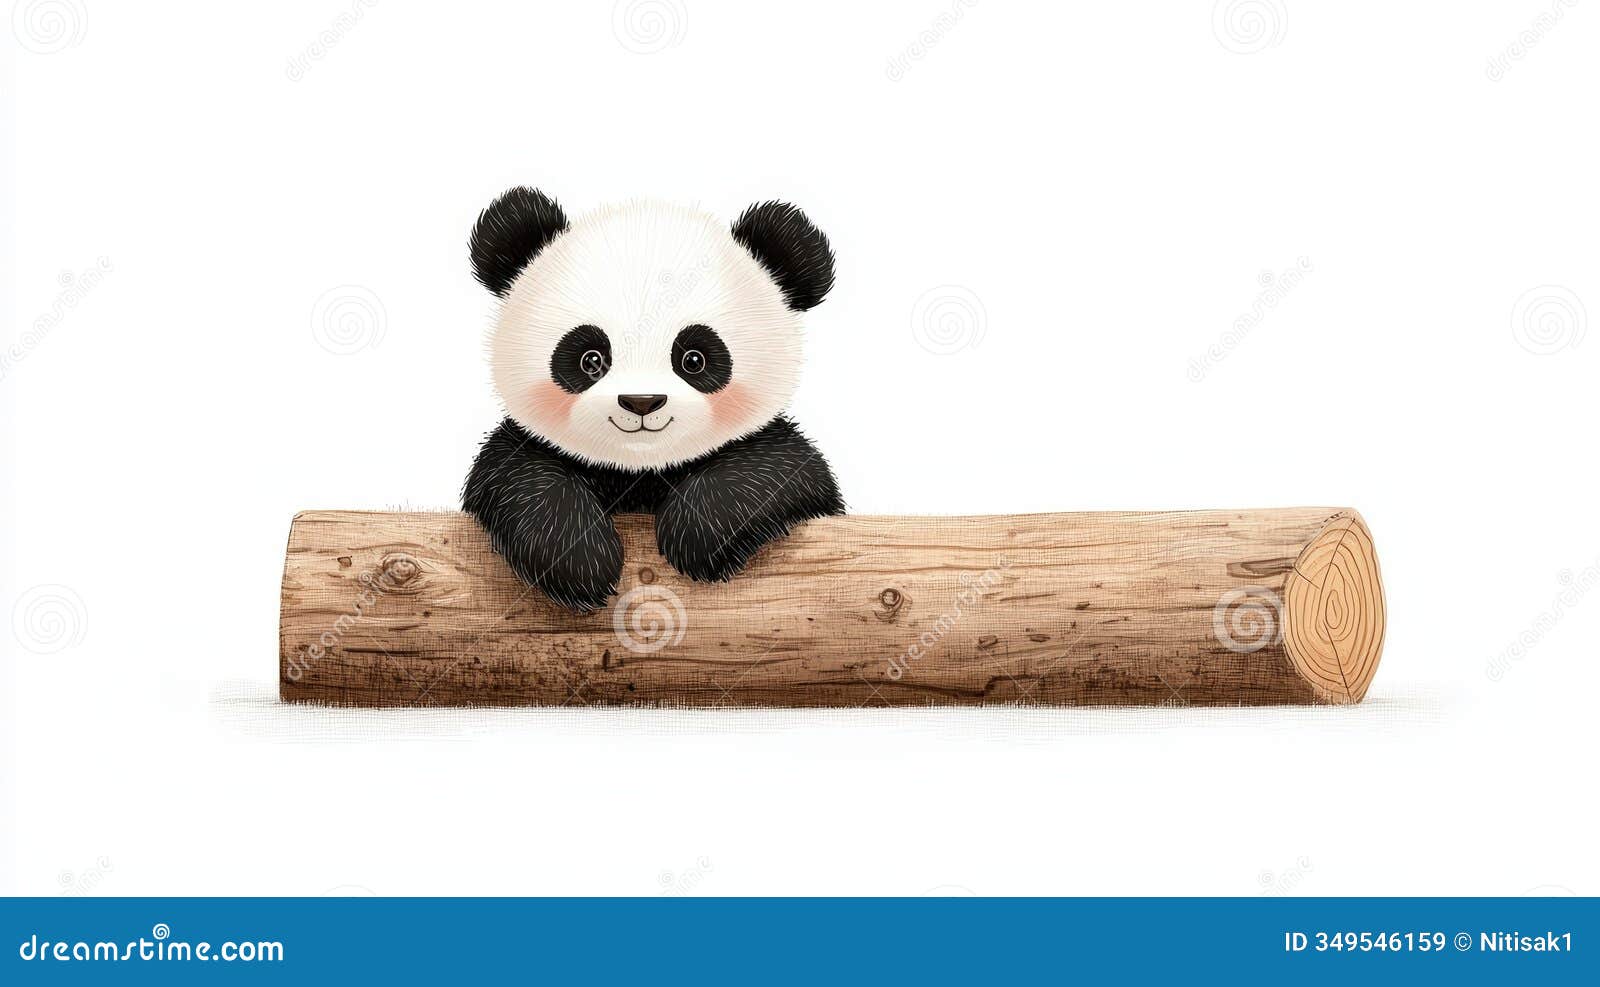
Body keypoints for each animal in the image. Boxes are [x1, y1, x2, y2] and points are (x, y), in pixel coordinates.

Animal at [461, 187, 845, 612]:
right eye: (590, 359)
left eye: (694, 359)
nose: (641, 401)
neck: (640, 472)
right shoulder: (520, 453)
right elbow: (519, 477)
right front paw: (578, 561)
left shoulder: (787, 464)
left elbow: (777, 468)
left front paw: (698, 533)